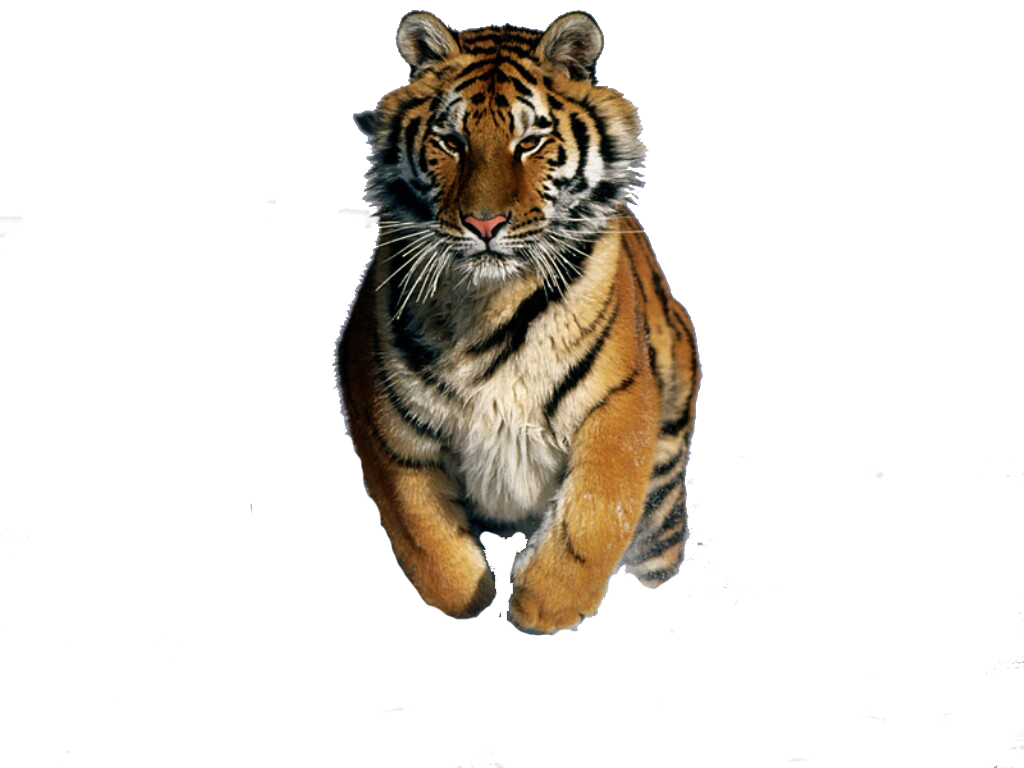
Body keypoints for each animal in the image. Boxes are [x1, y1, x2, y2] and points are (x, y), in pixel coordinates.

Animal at [336, 11, 699, 635]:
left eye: (529, 142)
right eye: (451, 142)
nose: (484, 224)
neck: (490, 302)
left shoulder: (621, 401)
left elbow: (596, 513)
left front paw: (542, 606)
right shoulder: (379, 408)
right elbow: (425, 537)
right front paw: (477, 593)